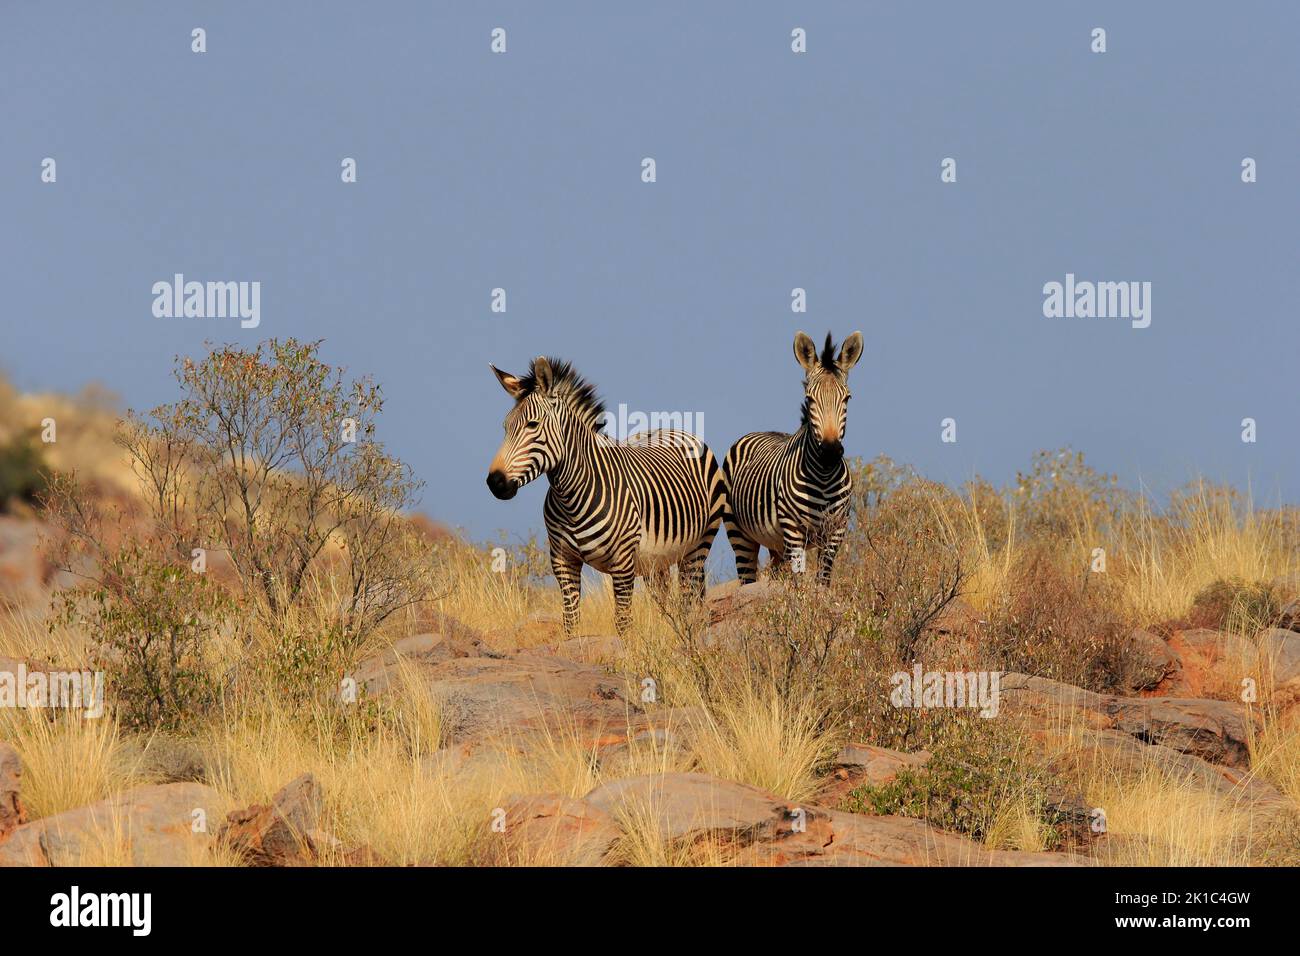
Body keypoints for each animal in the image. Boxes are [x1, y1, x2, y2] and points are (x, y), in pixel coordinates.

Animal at [486, 356, 726, 635]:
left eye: (532, 425)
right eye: (505, 427)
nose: (495, 482)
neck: (571, 496)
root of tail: (671, 429)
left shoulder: (622, 563)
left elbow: (622, 622)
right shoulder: (562, 560)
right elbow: (571, 621)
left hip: (698, 546)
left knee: (689, 599)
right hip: (658, 559)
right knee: (665, 601)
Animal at [723, 330, 863, 585]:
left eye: (847, 398)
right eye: (809, 399)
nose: (830, 452)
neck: (823, 476)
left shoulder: (836, 532)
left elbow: (823, 581)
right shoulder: (792, 531)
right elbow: (799, 583)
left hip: (775, 544)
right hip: (739, 534)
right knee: (747, 577)